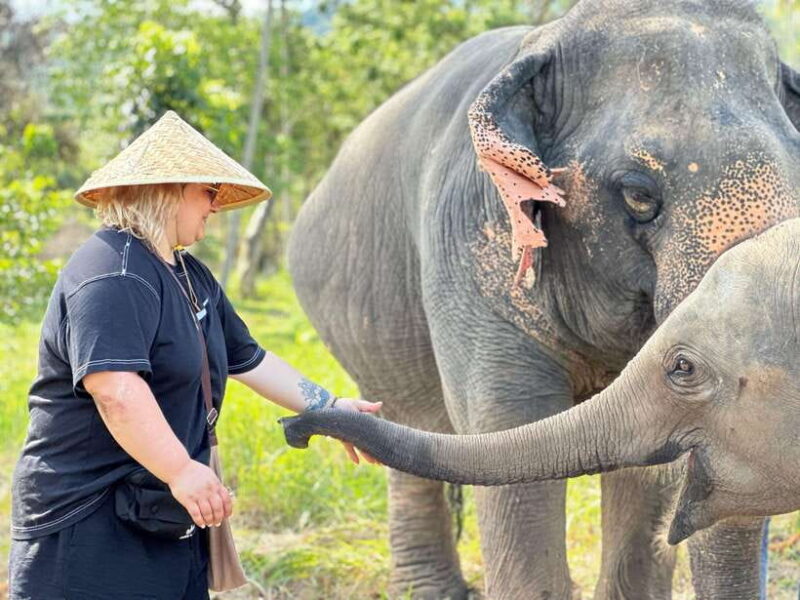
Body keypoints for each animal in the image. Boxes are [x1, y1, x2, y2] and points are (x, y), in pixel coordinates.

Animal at [287, 0, 800, 598]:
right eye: (638, 194)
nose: (294, 432)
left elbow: (649, 464)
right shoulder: (473, 248)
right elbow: (507, 419)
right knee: (408, 416)